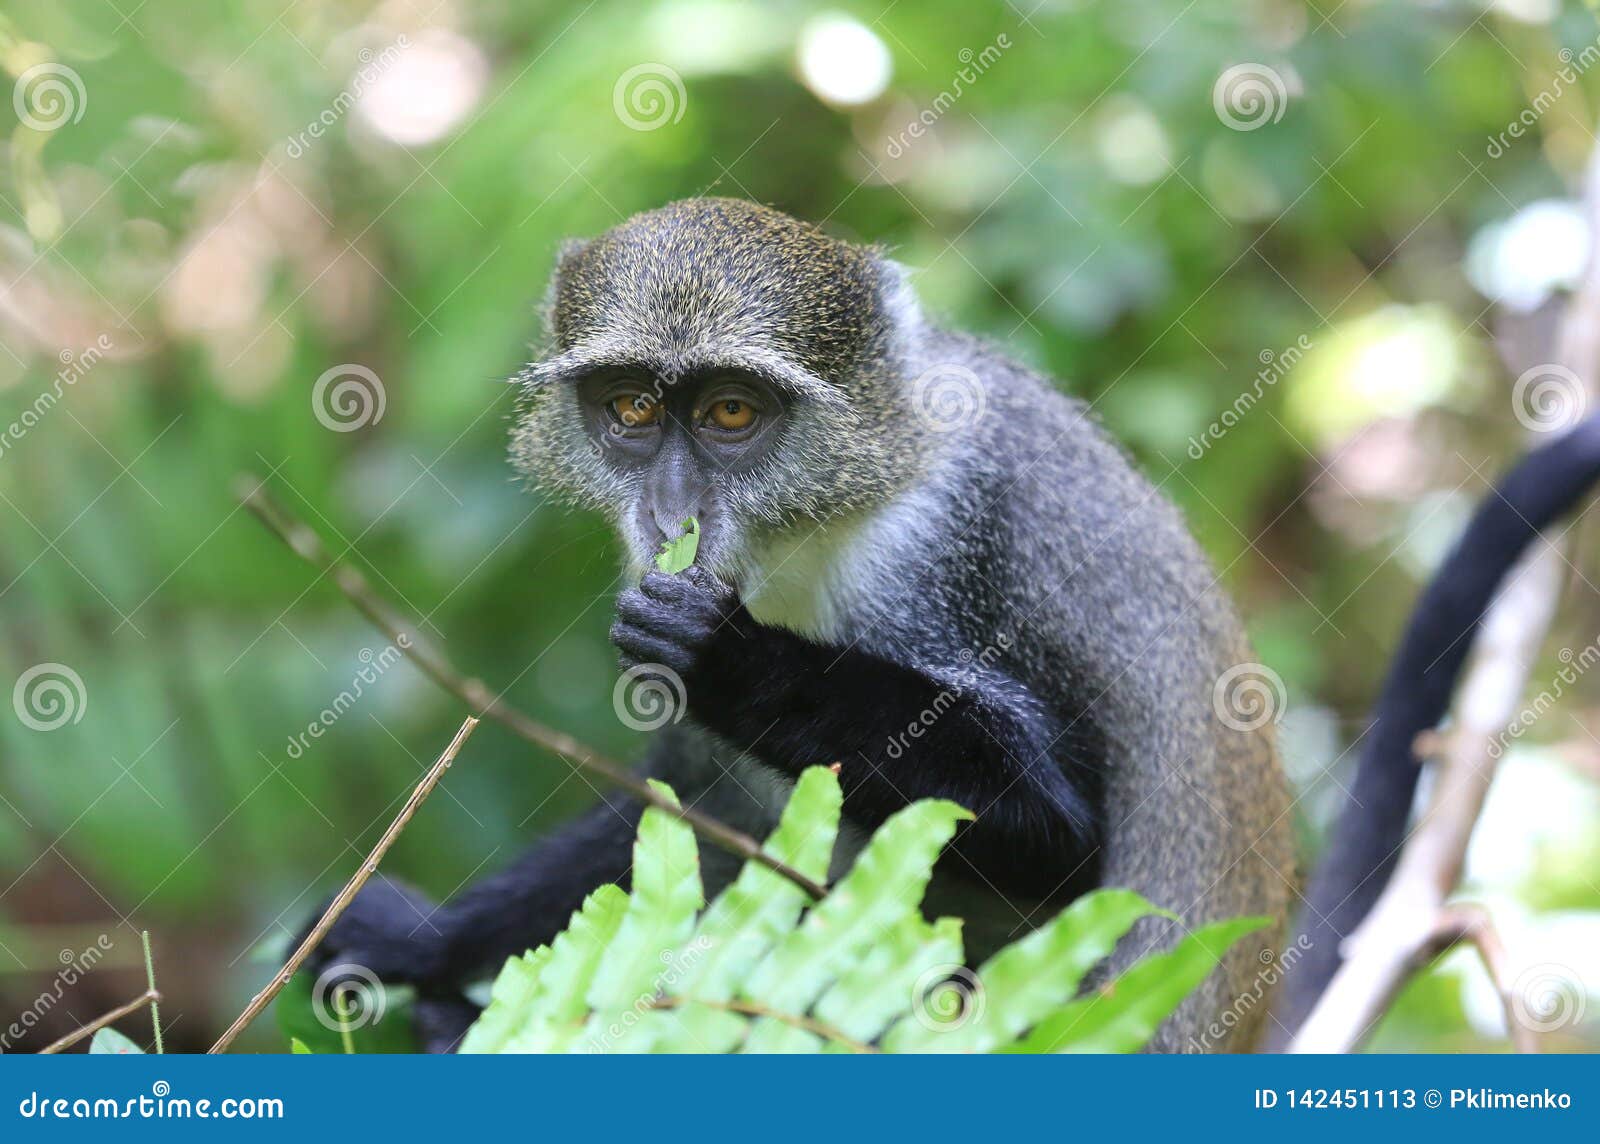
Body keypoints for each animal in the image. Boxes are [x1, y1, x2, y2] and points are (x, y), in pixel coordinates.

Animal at [305, 197, 1294, 1053]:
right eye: (631, 408)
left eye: (731, 412)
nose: (671, 516)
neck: (815, 516)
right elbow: (694, 804)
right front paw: (416, 940)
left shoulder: (940, 548)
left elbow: (1059, 836)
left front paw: (730, 661)